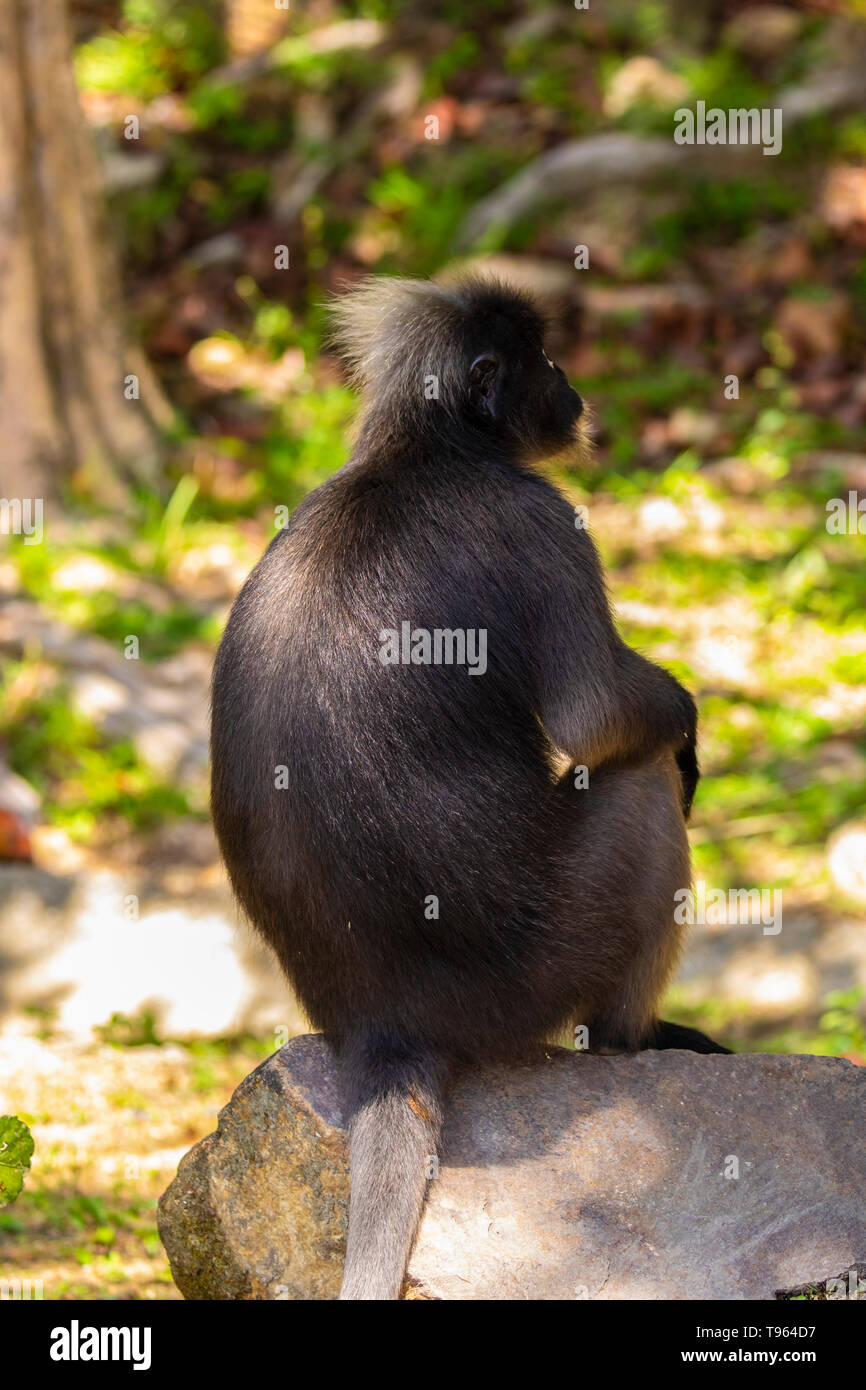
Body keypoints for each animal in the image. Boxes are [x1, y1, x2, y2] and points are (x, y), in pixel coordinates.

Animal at [210, 274, 730, 1302]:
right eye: (549, 362)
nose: (574, 389)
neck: (419, 453)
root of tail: (383, 1030)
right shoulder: (537, 518)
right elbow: (593, 717)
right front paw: (686, 723)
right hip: (551, 956)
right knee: (642, 784)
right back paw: (634, 1041)